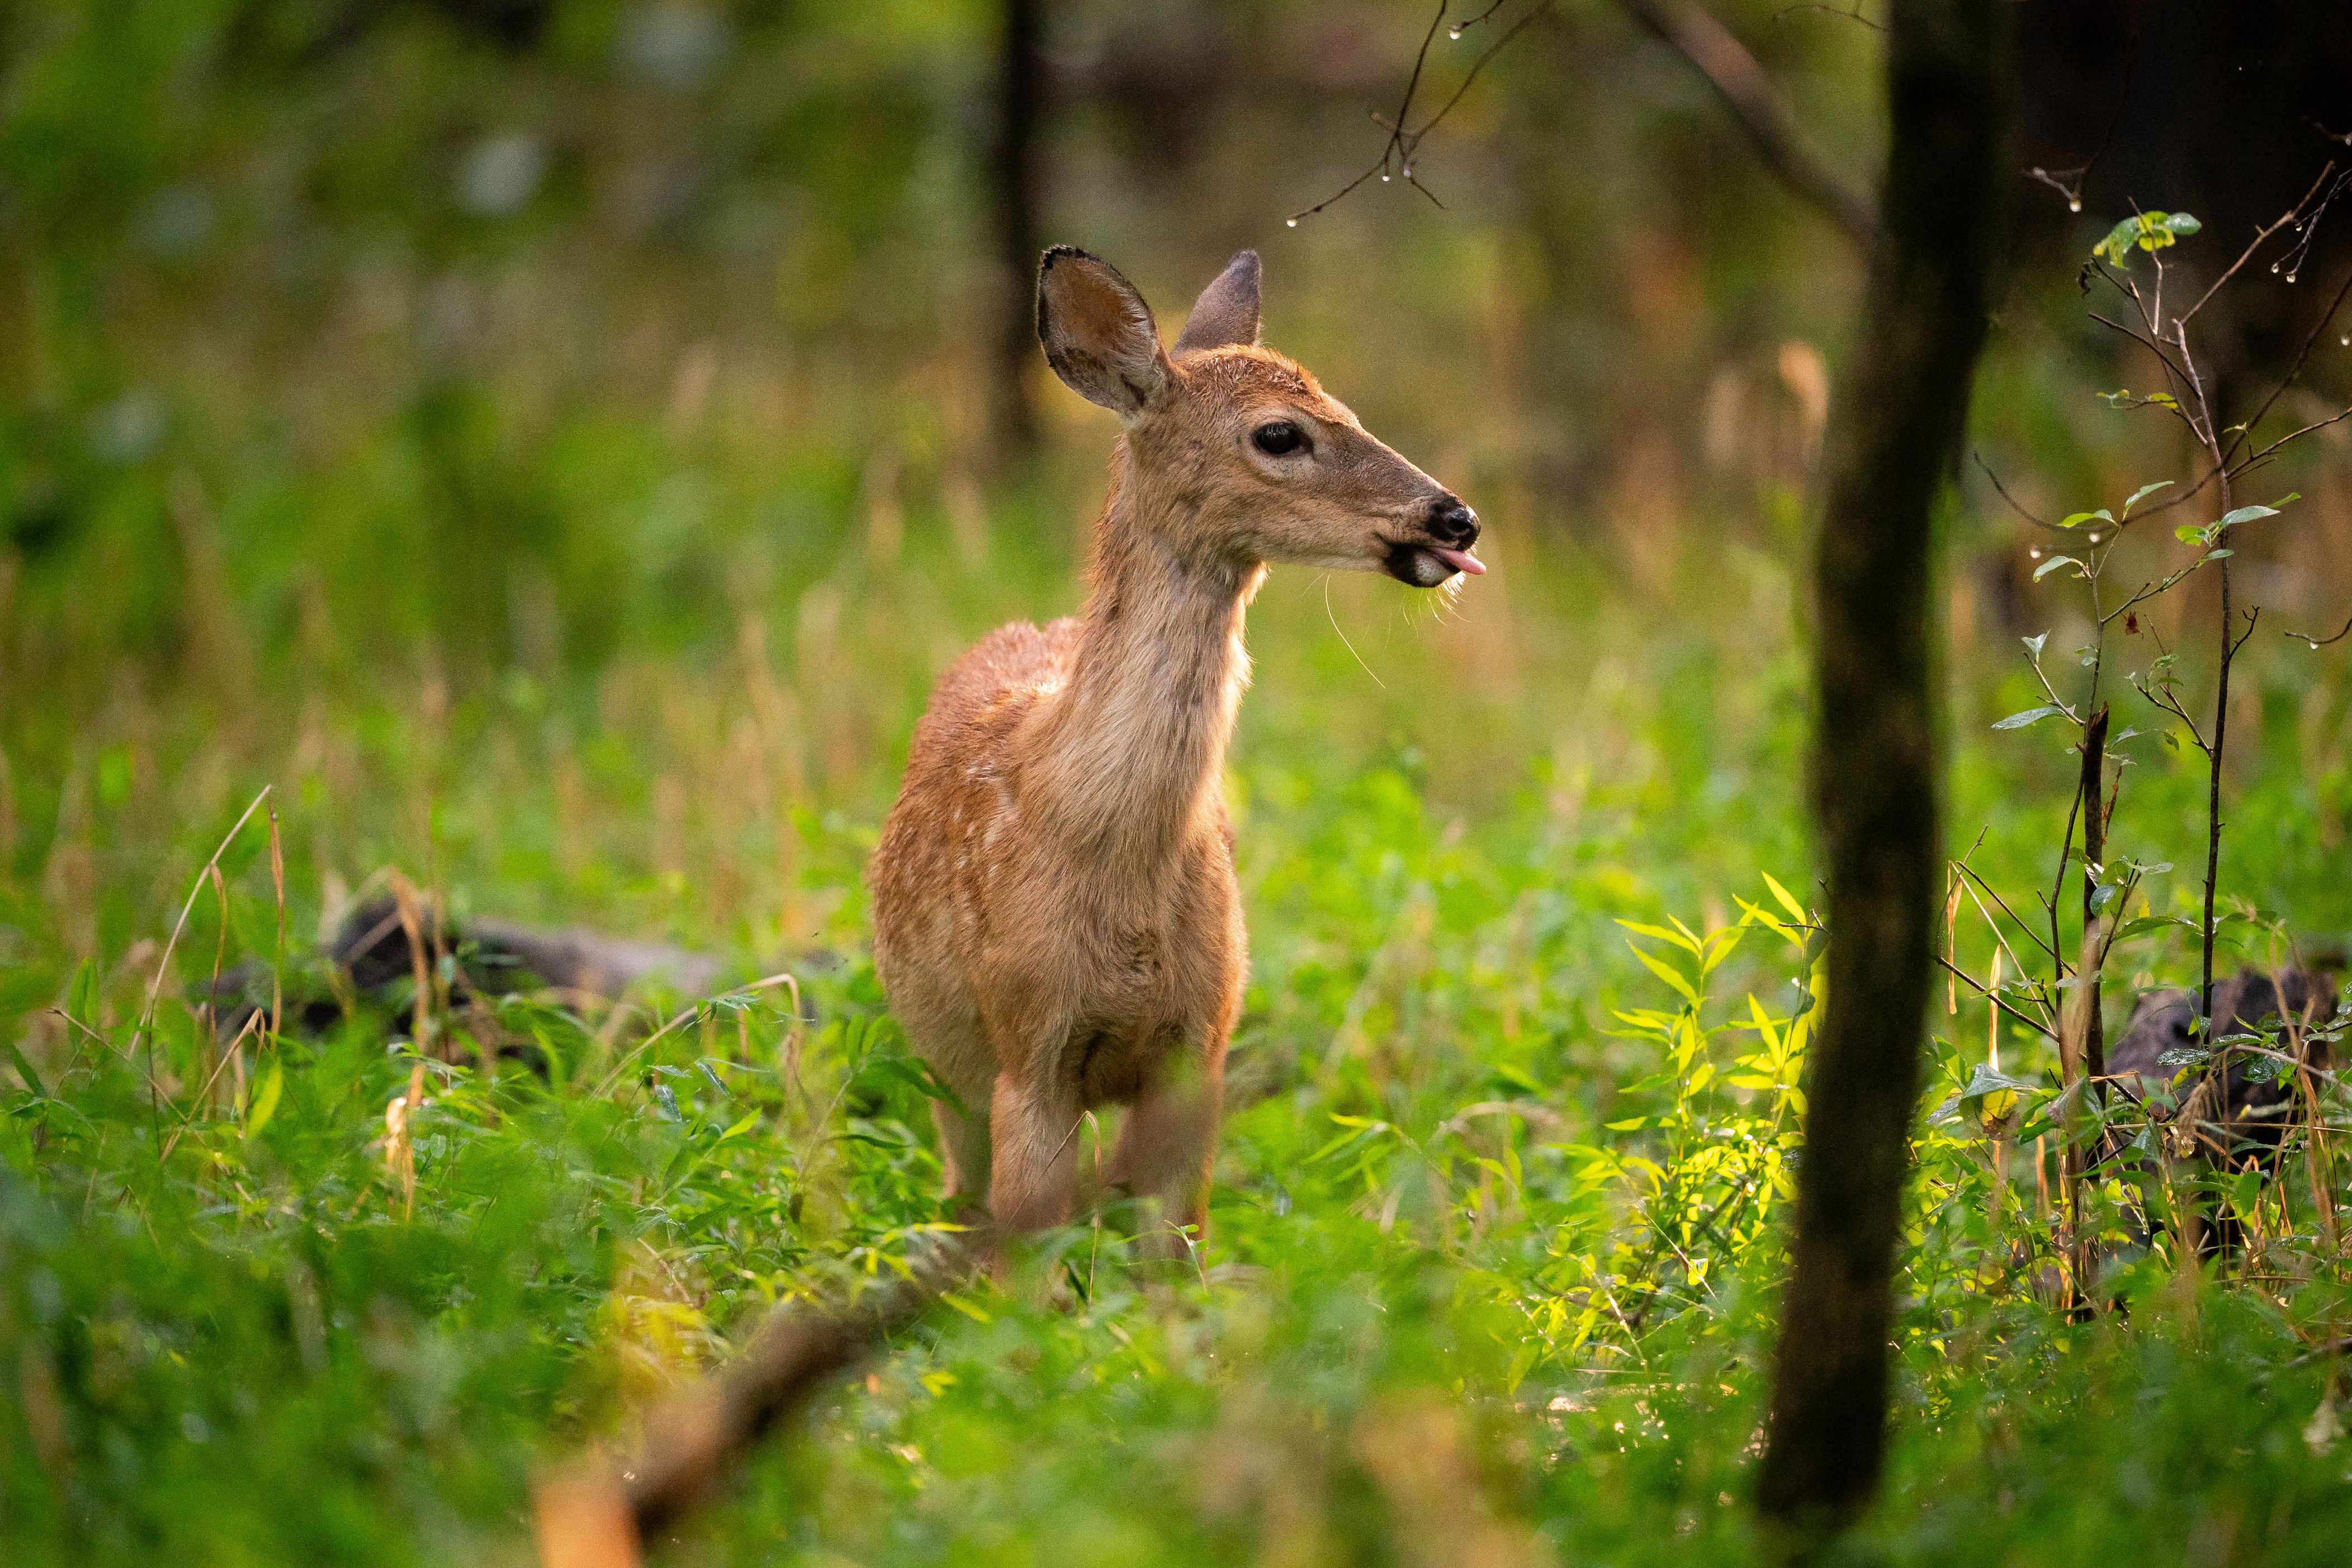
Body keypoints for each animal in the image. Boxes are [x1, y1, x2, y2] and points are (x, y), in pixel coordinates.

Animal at [868, 246, 1483, 1249]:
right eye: (1278, 435)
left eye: (1347, 409)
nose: (1454, 520)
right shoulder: (1026, 1050)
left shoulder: (1203, 1044)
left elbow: (1174, 1255)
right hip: (945, 1075)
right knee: (960, 1201)